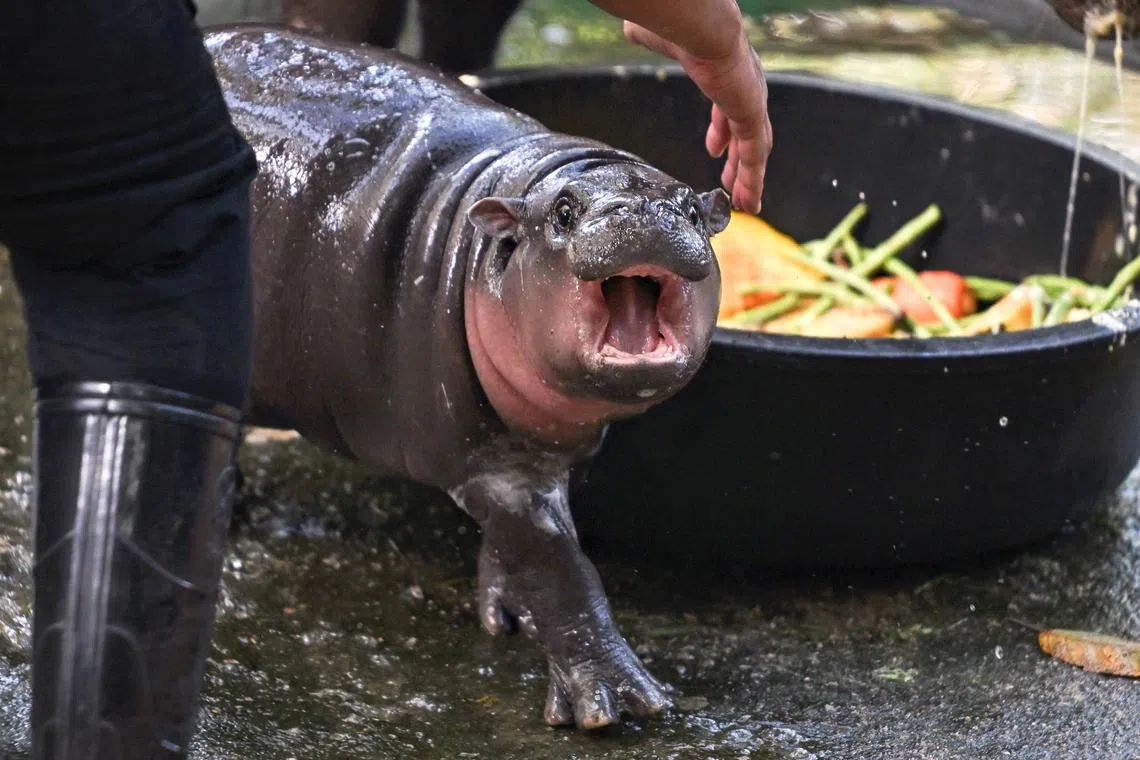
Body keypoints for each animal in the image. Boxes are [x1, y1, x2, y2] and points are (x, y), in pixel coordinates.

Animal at [204, 25, 730, 730]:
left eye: (692, 210)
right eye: (564, 213)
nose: (643, 214)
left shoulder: (547, 454)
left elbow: (526, 547)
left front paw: (505, 617)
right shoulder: (490, 467)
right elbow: (559, 568)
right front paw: (615, 704)